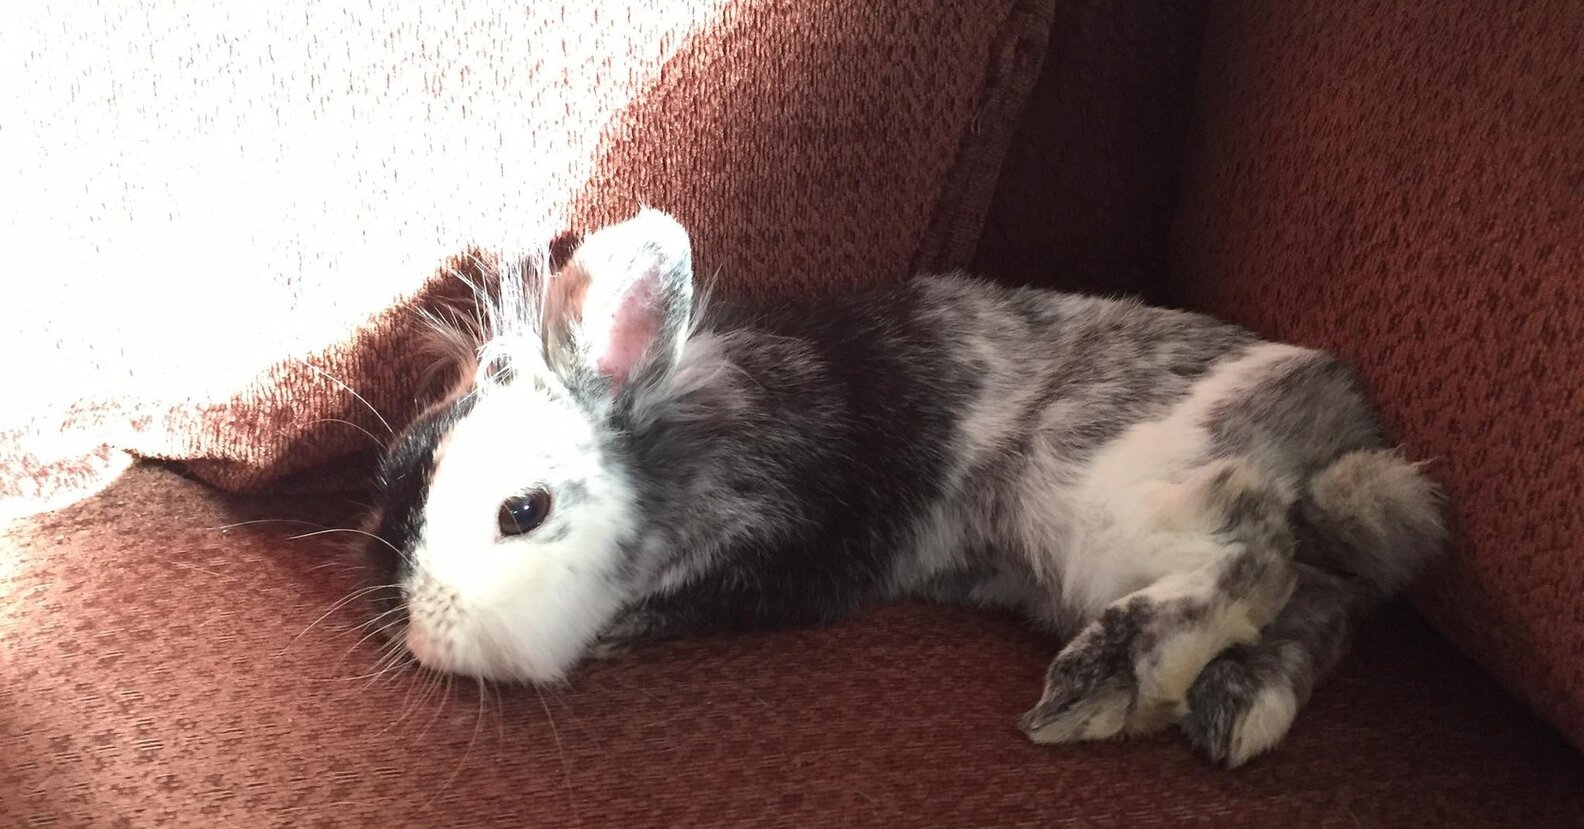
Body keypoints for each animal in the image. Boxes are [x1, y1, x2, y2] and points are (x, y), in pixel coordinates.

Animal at [359, 208, 1446, 768]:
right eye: (401, 463)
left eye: (523, 512)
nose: (412, 626)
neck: (685, 452)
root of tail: (1338, 429)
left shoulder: (796, 539)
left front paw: (628, 629)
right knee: (1312, 600)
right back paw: (1218, 704)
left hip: (1125, 500)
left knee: (1255, 541)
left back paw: (1112, 678)